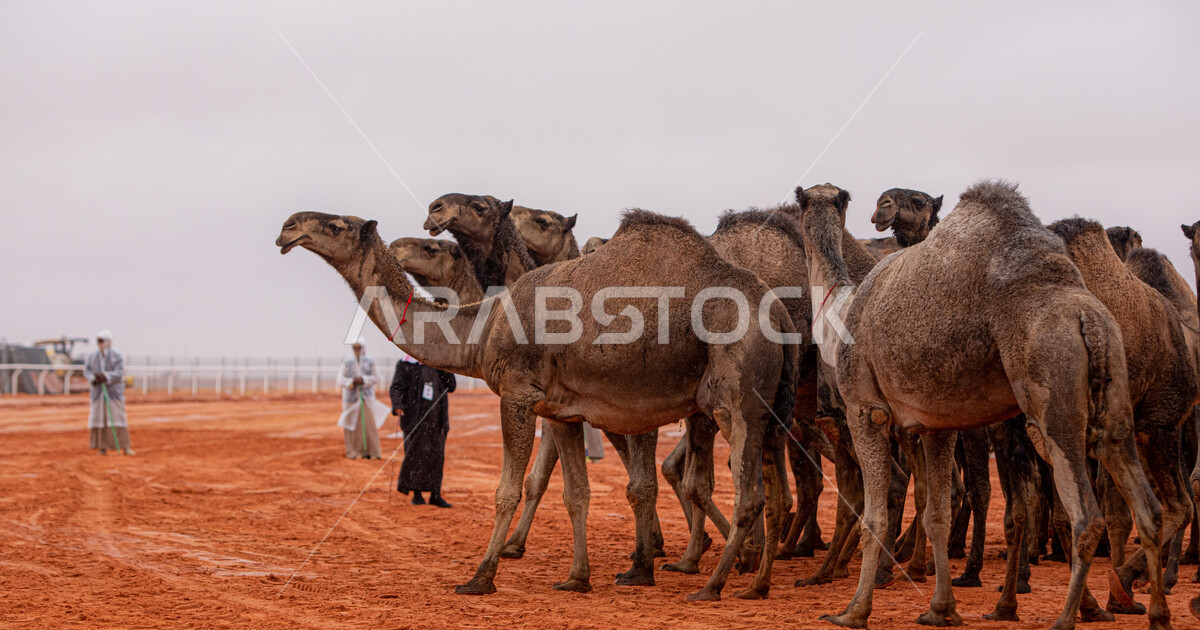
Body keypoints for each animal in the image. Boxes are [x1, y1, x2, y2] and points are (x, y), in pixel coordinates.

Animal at [277, 209, 799, 600]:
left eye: (335, 225)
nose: (287, 228)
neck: (484, 325)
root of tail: (778, 313)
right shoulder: (562, 410)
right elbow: (575, 494)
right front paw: (577, 578)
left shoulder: (518, 393)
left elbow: (507, 490)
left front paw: (480, 576)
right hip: (767, 409)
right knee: (773, 490)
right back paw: (755, 582)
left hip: (735, 395)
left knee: (747, 489)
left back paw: (713, 584)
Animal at [806, 180, 1165, 630]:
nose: (881, 208)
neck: (838, 315)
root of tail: (1087, 318)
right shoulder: (935, 425)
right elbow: (937, 513)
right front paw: (941, 609)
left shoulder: (865, 409)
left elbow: (876, 515)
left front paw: (853, 611)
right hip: (1115, 386)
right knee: (1146, 505)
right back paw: (1150, 612)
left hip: (1052, 390)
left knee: (1085, 515)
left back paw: (1064, 618)